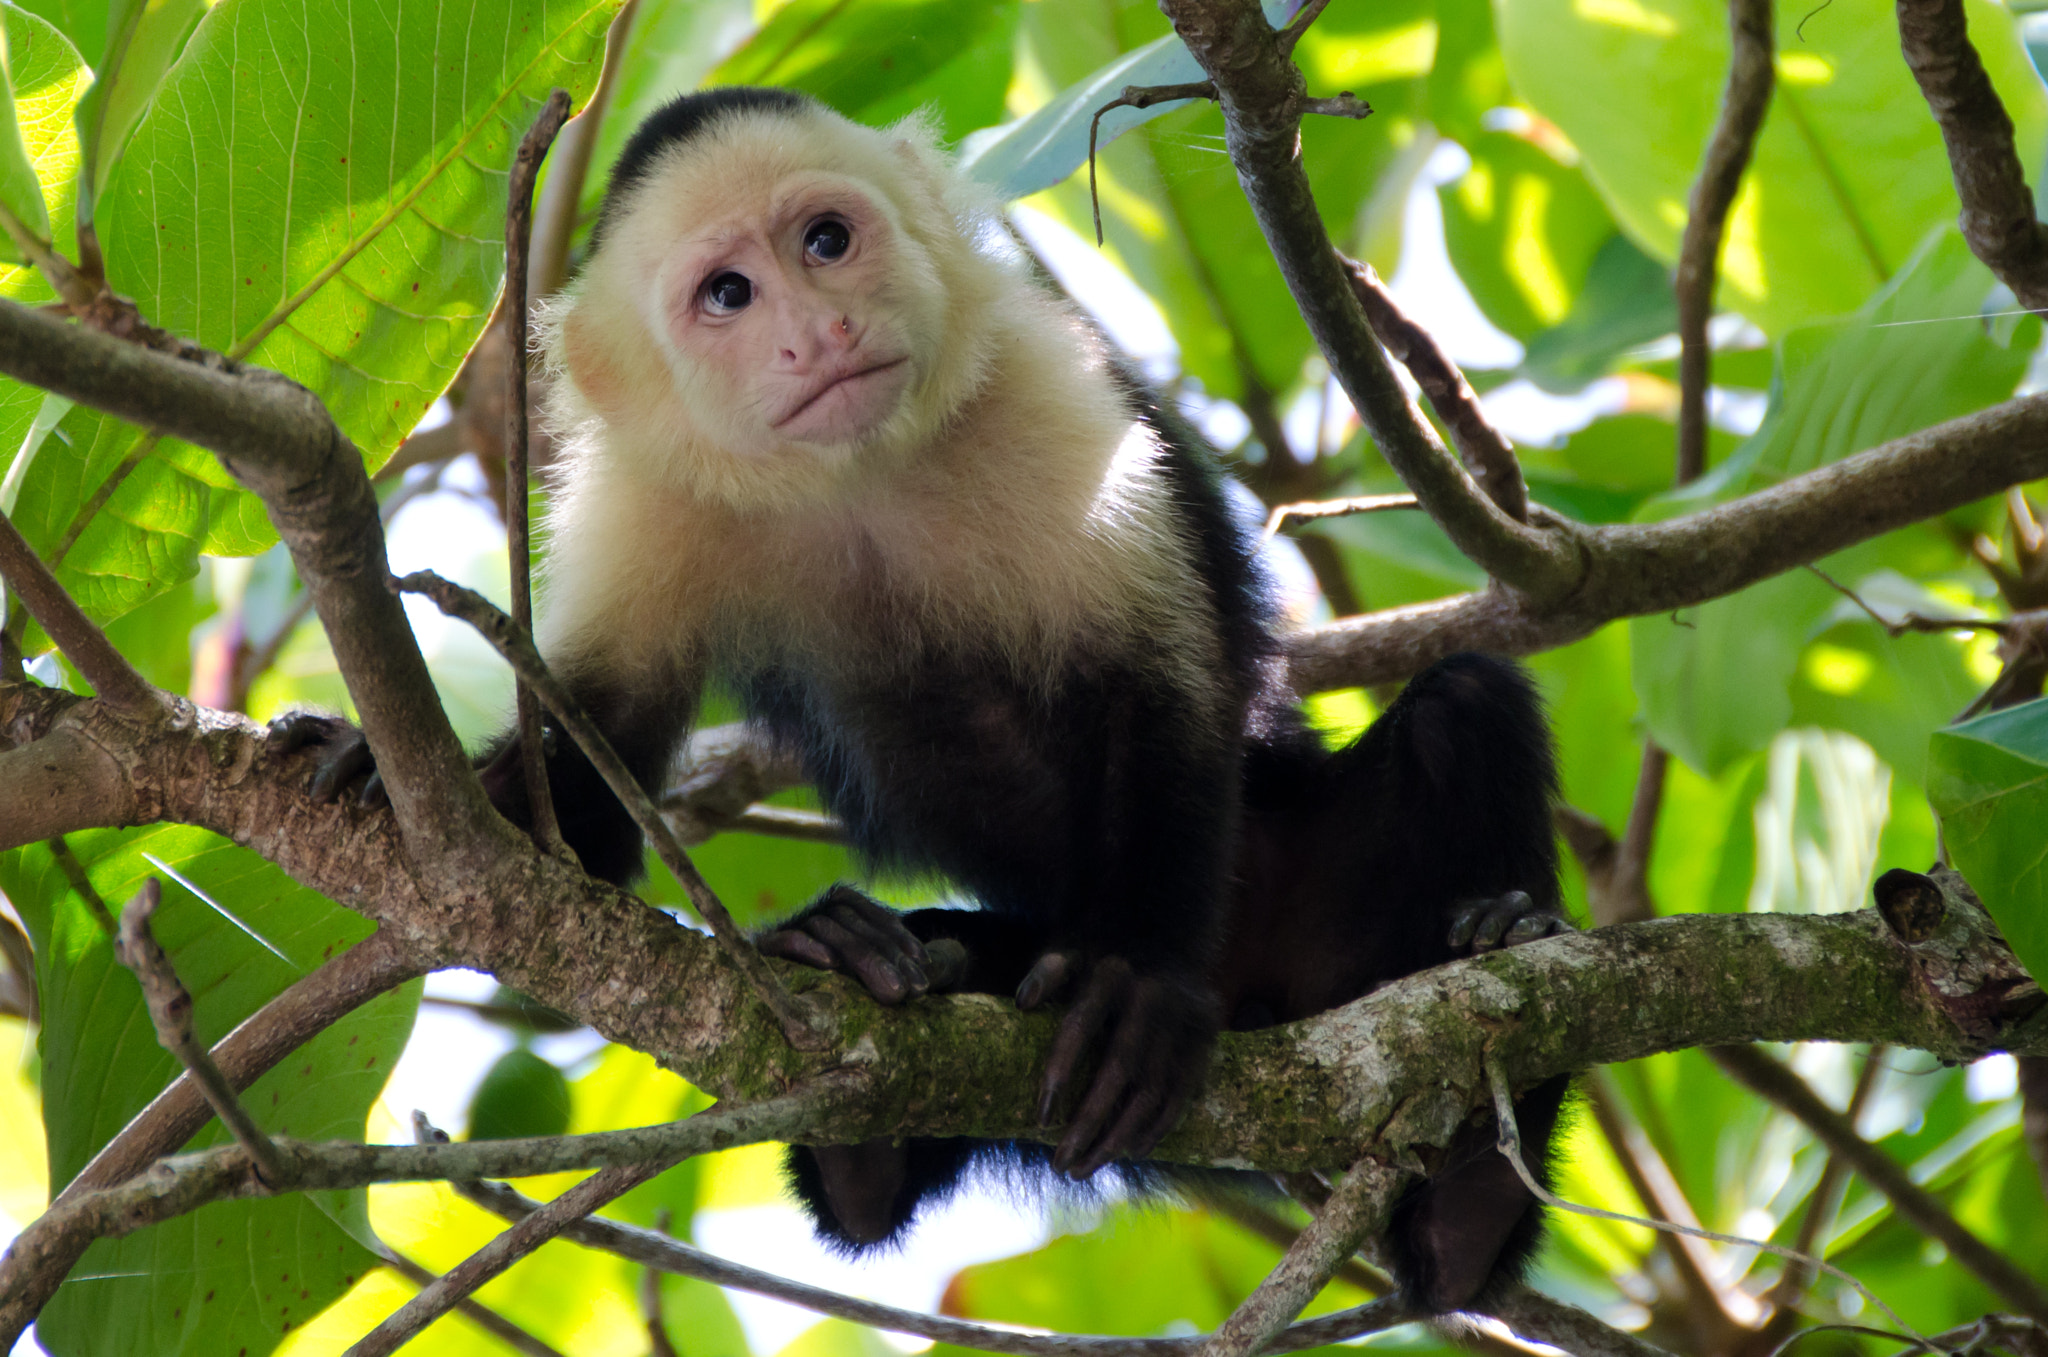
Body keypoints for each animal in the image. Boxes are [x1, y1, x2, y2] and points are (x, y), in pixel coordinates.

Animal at [299, 85, 1571, 1314]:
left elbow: (1150, 689)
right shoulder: (641, 494)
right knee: (928, 1045)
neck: (852, 476)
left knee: (1461, 711)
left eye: (825, 240)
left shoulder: (1047, 381)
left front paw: (1130, 982)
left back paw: (1474, 1128)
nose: (818, 331)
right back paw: (859, 1043)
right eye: (728, 293)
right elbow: (589, 819)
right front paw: (415, 777)